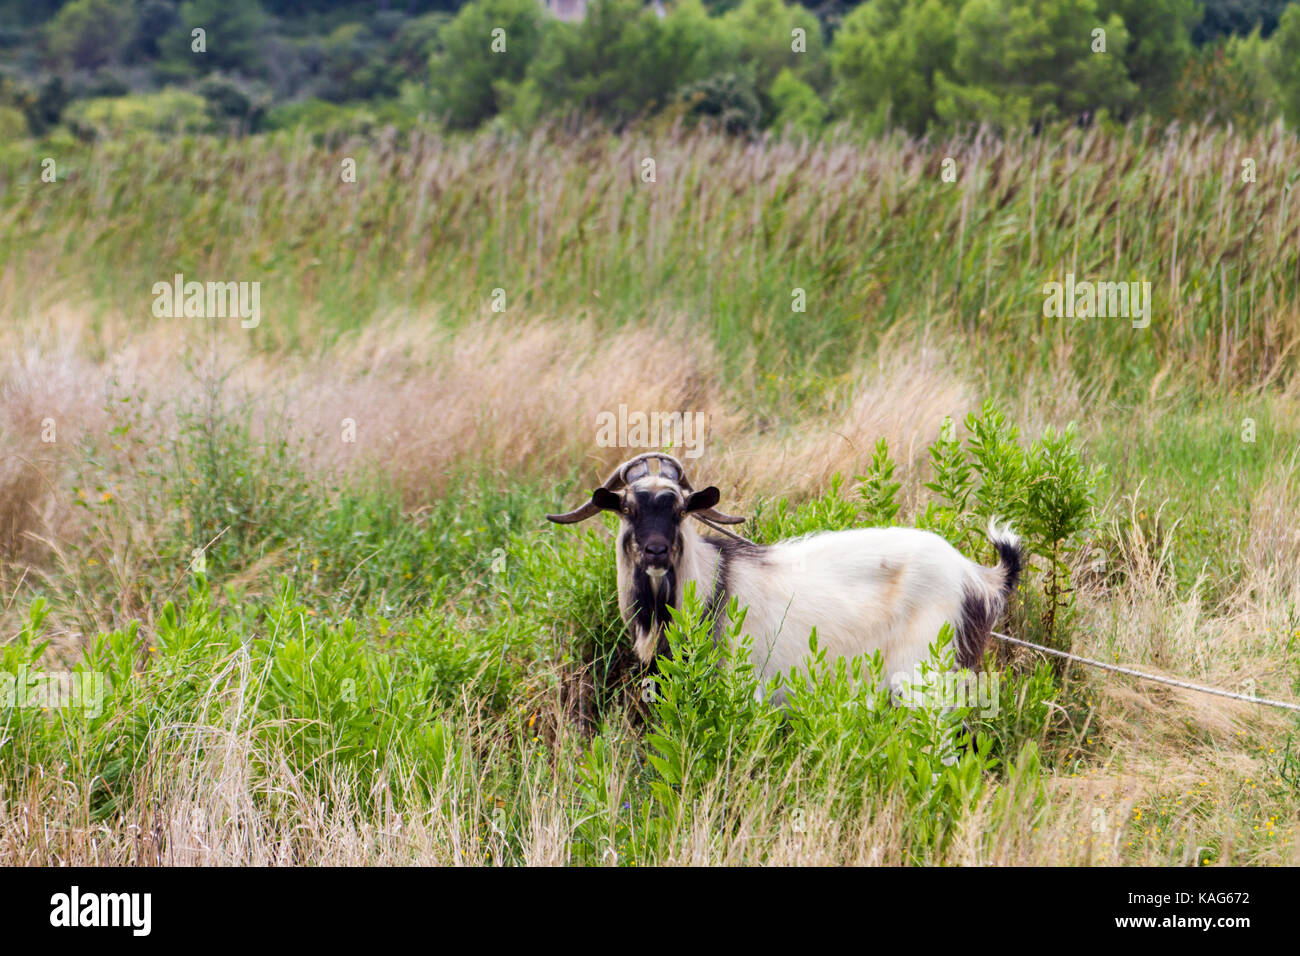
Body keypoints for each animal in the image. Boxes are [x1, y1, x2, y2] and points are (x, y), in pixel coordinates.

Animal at [547, 453, 1022, 699]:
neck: (712, 586)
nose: (656, 551)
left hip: (927, 675)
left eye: (680, 508)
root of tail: (976, 577)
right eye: (628, 507)